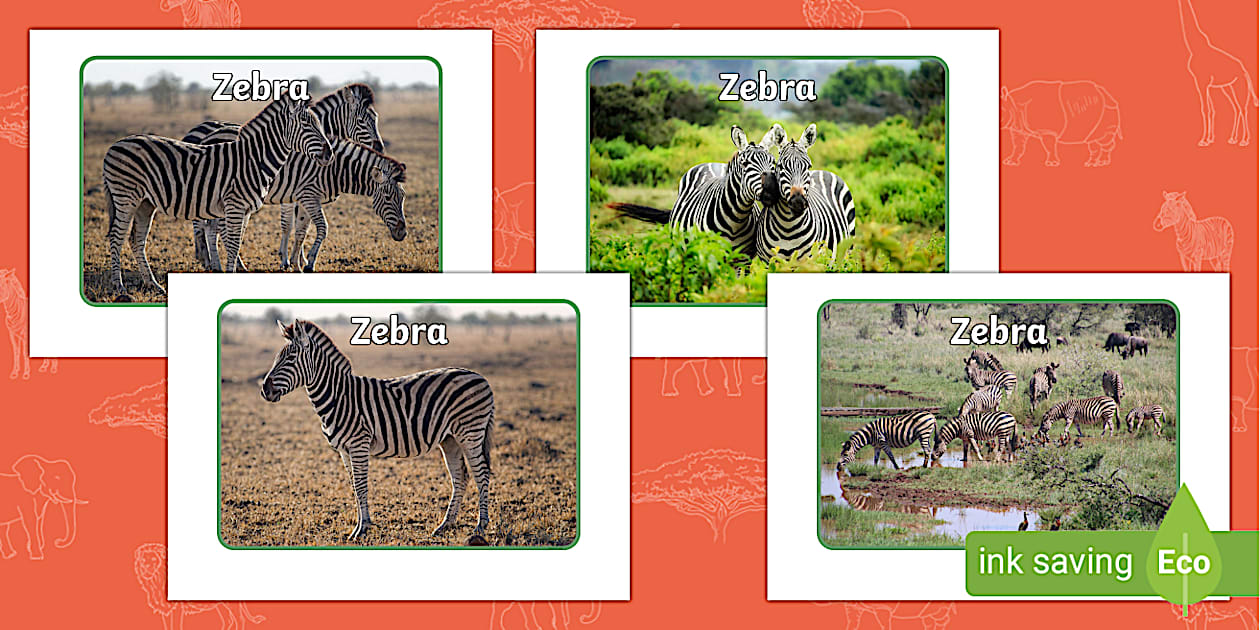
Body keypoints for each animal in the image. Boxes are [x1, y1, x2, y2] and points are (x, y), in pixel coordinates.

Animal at [102, 92, 331, 295]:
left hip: (145, 203)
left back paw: (153, 285)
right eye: (306, 124)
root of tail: (115, 145)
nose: (329, 153)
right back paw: (119, 286)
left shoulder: (242, 209)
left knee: (136, 240)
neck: (254, 160)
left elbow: (234, 243)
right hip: (126, 197)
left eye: (318, 123)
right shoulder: (235, 205)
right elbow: (232, 244)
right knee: (117, 237)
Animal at [186, 83, 385, 271]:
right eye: (361, 121)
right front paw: (288, 260)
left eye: (376, 119)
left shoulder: (294, 194)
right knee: (209, 226)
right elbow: (289, 225)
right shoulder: (296, 191)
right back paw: (218, 262)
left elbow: (299, 226)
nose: (380, 149)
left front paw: (297, 259)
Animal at [259, 319, 495, 539]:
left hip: (470, 433)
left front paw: (362, 529)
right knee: (461, 476)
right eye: (276, 358)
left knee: (481, 474)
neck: (338, 396)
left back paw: (480, 526)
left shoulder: (358, 444)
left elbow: (361, 486)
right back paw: (445, 525)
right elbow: (354, 487)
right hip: (450, 439)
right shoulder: (344, 451)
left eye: (290, 358)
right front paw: (362, 525)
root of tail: (481, 378)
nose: (264, 390)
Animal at [606, 124, 782, 255]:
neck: (735, 219)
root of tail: (711, 163)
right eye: (745, 164)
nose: (772, 190)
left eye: (773, 163)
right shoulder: (707, 254)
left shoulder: (743, 260)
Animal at [755, 123, 857, 261]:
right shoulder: (767, 261)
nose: (798, 202)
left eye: (808, 166)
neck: (788, 227)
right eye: (780, 166)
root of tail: (823, 171)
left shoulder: (809, 261)